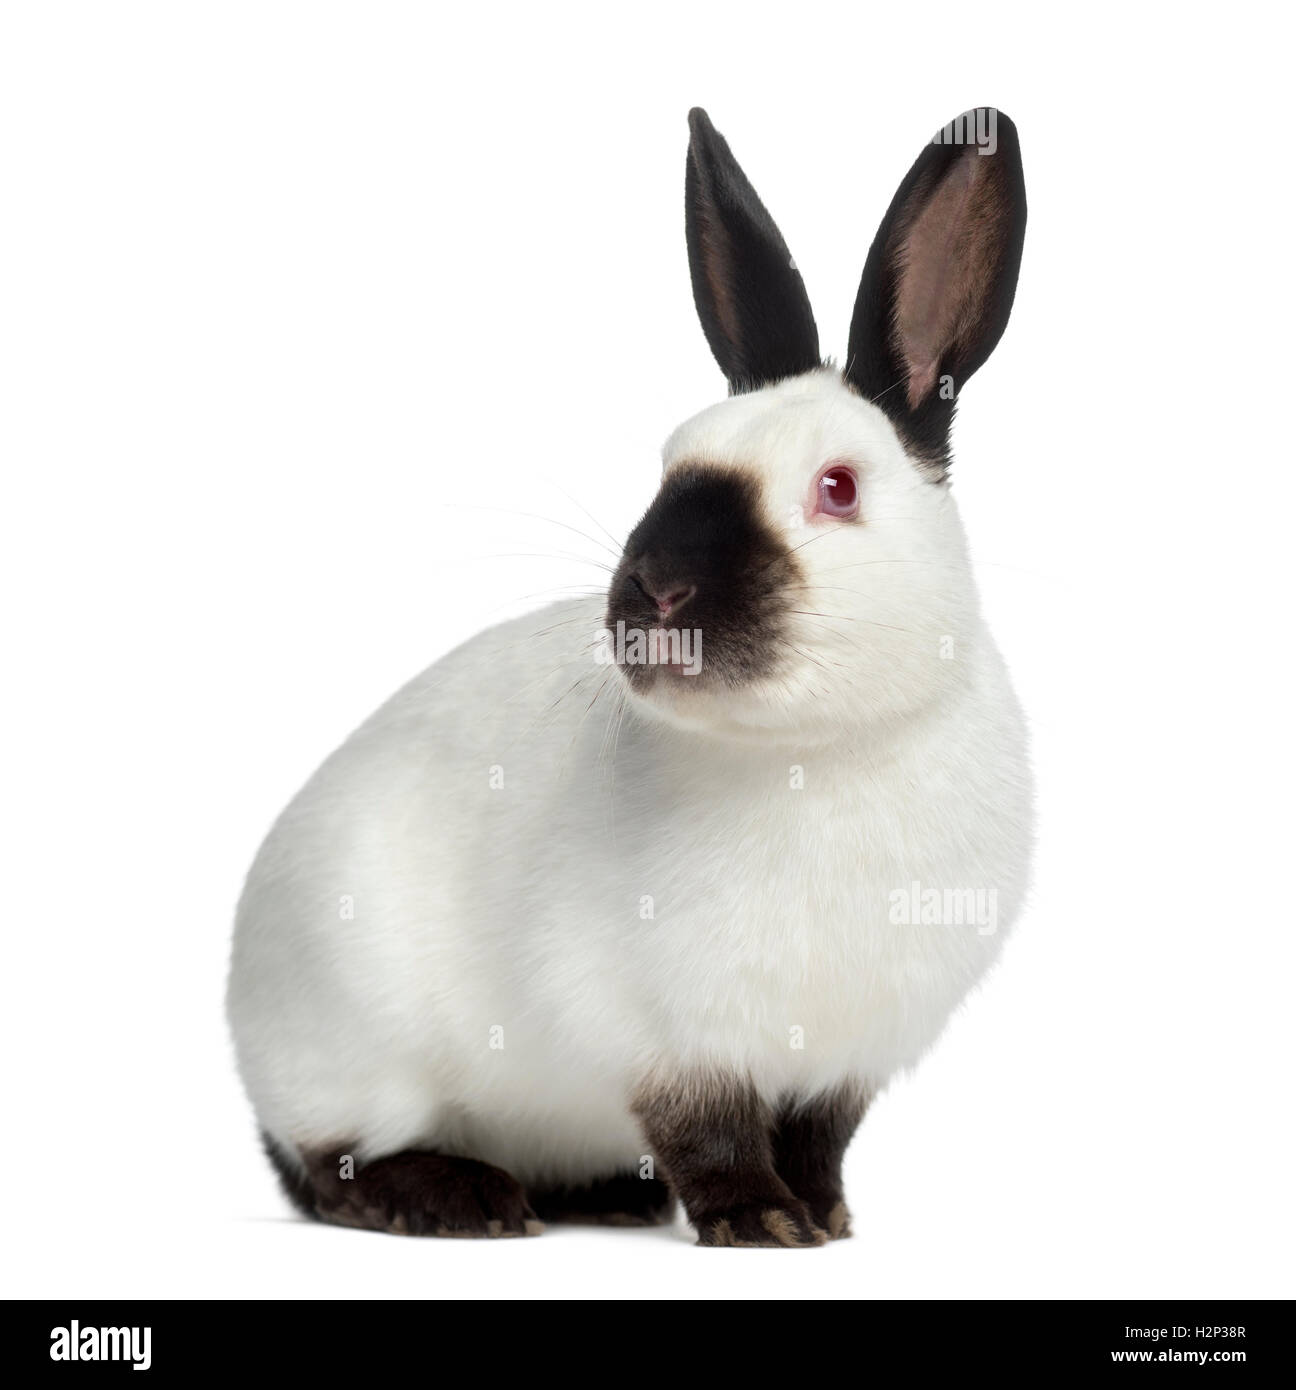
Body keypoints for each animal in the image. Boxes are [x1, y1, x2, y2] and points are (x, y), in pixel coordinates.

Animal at [227, 105, 1032, 1247]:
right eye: (668, 466)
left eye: (838, 488)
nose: (656, 587)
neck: (812, 753)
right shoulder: (666, 1034)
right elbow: (710, 1133)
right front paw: (760, 1223)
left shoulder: (846, 1057)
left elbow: (817, 1140)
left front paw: (826, 1217)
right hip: (353, 1050)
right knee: (327, 1167)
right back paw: (461, 1200)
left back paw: (606, 1196)